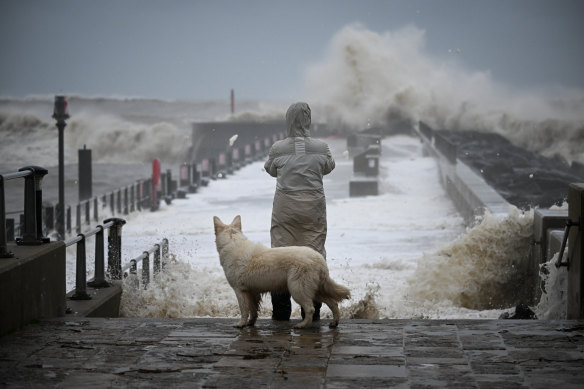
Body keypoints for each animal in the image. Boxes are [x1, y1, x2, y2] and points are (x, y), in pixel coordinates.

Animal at [214, 215, 352, 328]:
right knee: (333, 303)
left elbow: (244, 310)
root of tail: (319, 259)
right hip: (314, 290)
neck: (232, 241)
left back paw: (302, 325)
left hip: (297, 289)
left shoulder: (240, 290)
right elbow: (253, 310)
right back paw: (334, 322)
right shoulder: (252, 292)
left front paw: (241, 324)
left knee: (310, 309)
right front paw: (250, 323)